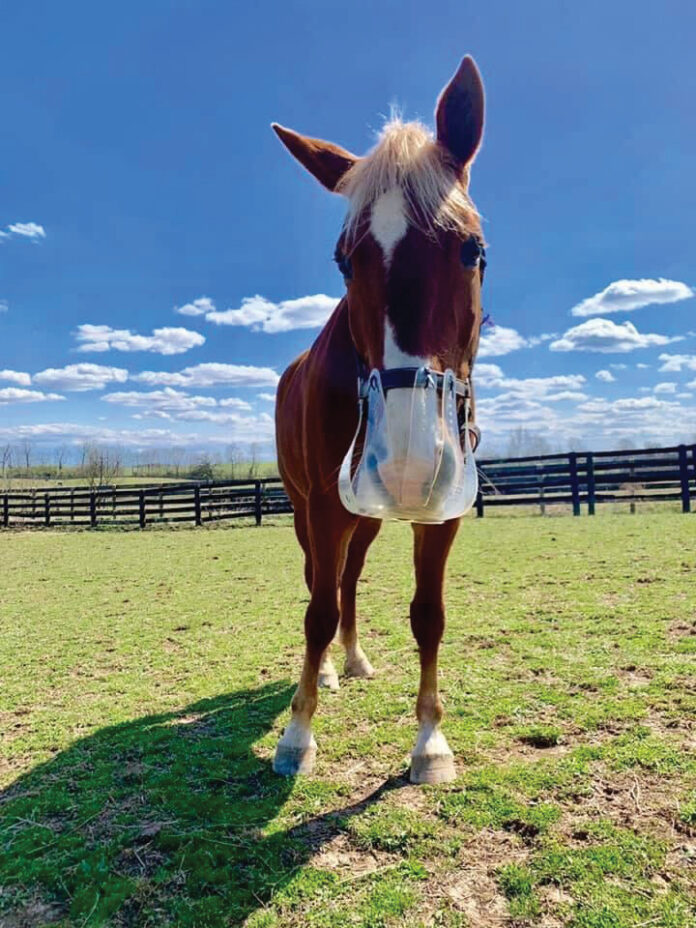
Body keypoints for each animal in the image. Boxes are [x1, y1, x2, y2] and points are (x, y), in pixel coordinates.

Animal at [271, 56, 486, 784]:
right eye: (344, 260)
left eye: (472, 250)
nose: (409, 465)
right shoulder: (324, 510)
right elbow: (315, 609)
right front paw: (297, 734)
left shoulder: (443, 513)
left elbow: (429, 616)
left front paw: (430, 741)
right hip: (310, 509)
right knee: (322, 581)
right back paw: (326, 673)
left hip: (365, 518)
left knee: (350, 580)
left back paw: (356, 658)